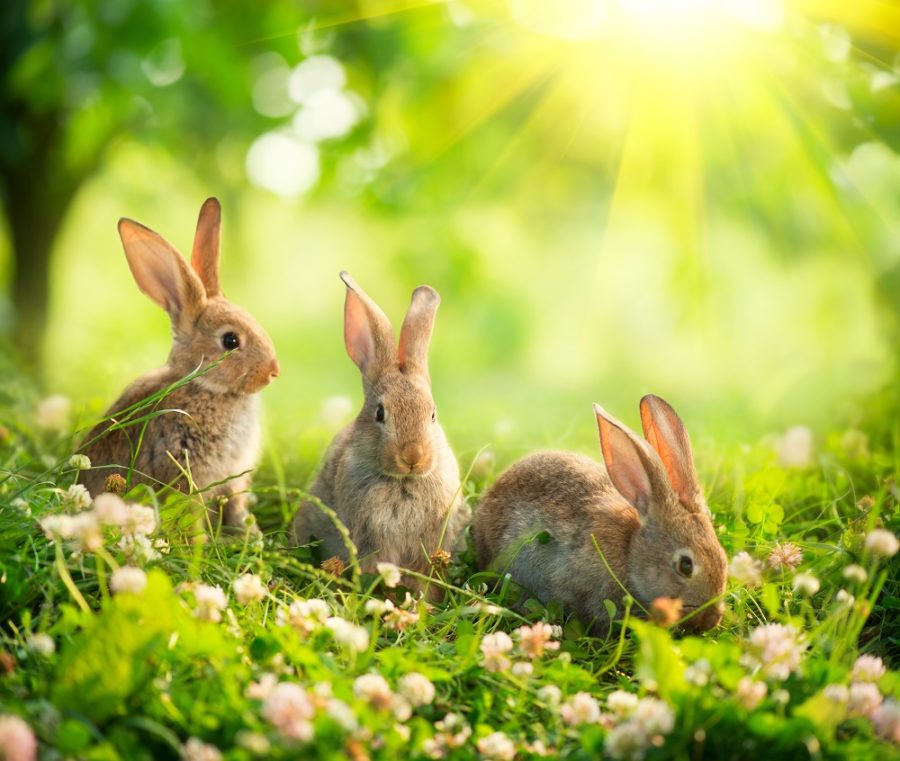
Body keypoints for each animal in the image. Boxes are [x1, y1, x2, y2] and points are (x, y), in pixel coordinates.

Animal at [78, 198, 280, 530]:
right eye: (230, 341)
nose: (274, 372)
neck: (203, 386)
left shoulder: (233, 480)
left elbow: (236, 506)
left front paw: (249, 533)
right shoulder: (184, 471)